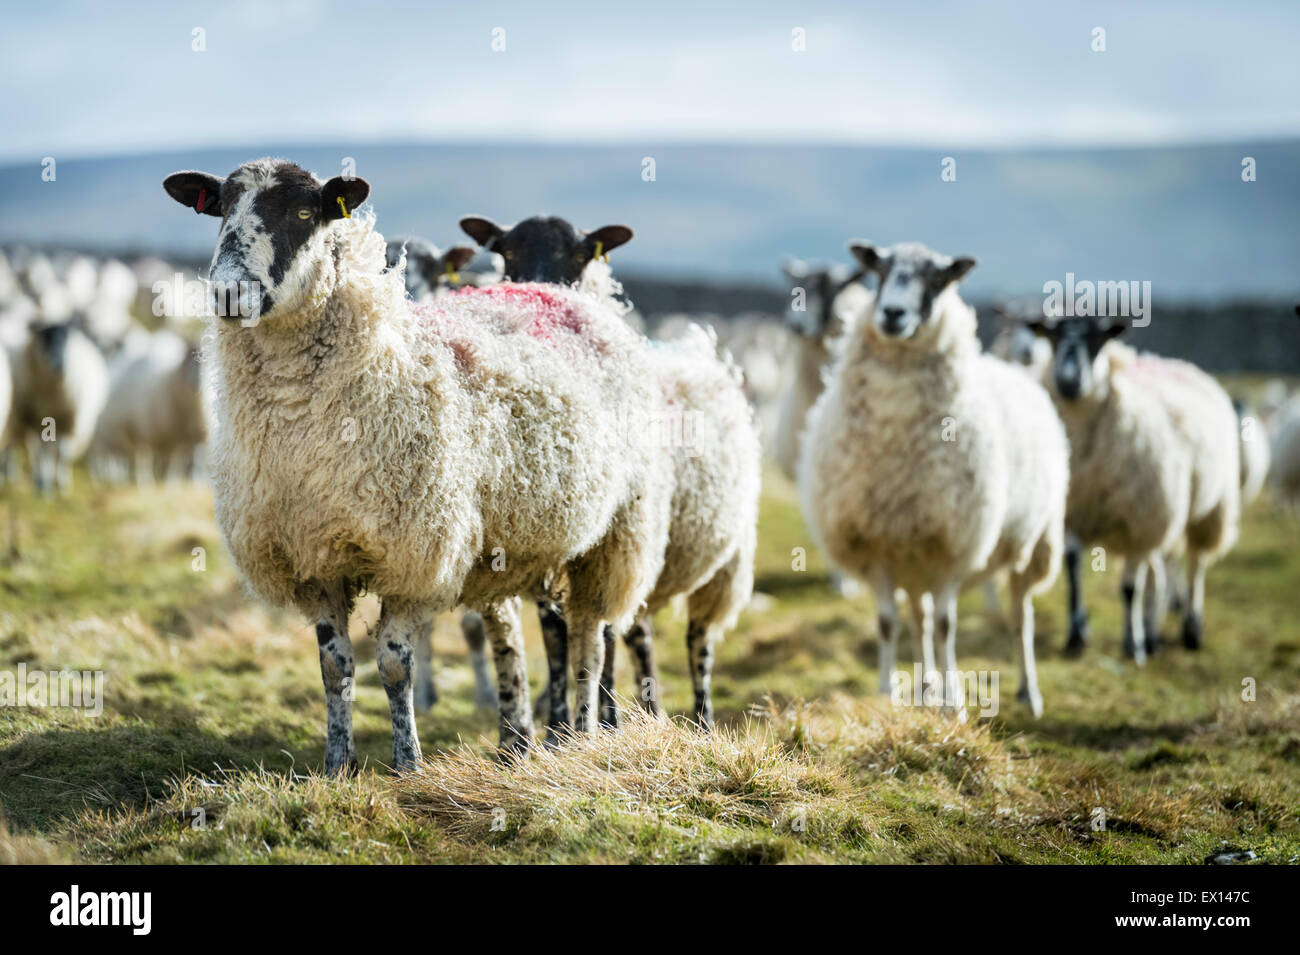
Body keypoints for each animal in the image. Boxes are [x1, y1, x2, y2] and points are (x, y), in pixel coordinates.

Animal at [163, 158, 675, 768]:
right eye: (220, 210)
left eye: (306, 212)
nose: (230, 292)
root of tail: (560, 293)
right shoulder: (313, 556)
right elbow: (335, 666)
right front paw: (337, 766)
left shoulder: (414, 553)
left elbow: (393, 664)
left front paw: (408, 763)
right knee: (530, 637)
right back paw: (524, 738)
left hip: (617, 530)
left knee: (590, 641)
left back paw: (584, 734)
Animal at [800, 241, 1067, 717]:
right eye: (881, 270)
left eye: (937, 279)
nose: (892, 313)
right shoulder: (879, 545)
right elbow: (889, 624)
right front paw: (887, 694)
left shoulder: (953, 546)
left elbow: (946, 625)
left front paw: (953, 701)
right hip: (913, 559)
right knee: (918, 619)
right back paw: (924, 687)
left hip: (1034, 544)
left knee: (1021, 617)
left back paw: (1028, 692)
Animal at [1026, 316, 1240, 661]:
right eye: (1053, 337)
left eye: (1098, 340)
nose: (1069, 380)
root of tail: (1175, 364)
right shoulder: (1072, 514)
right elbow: (1073, 572)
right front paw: (1076, 636)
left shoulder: (1139, 523)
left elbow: (1129, 590)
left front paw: (1132, 644)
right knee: (1160, 576)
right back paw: (1153, 634)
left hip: (1209, 509)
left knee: (1196, 564)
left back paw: (1191, 628)